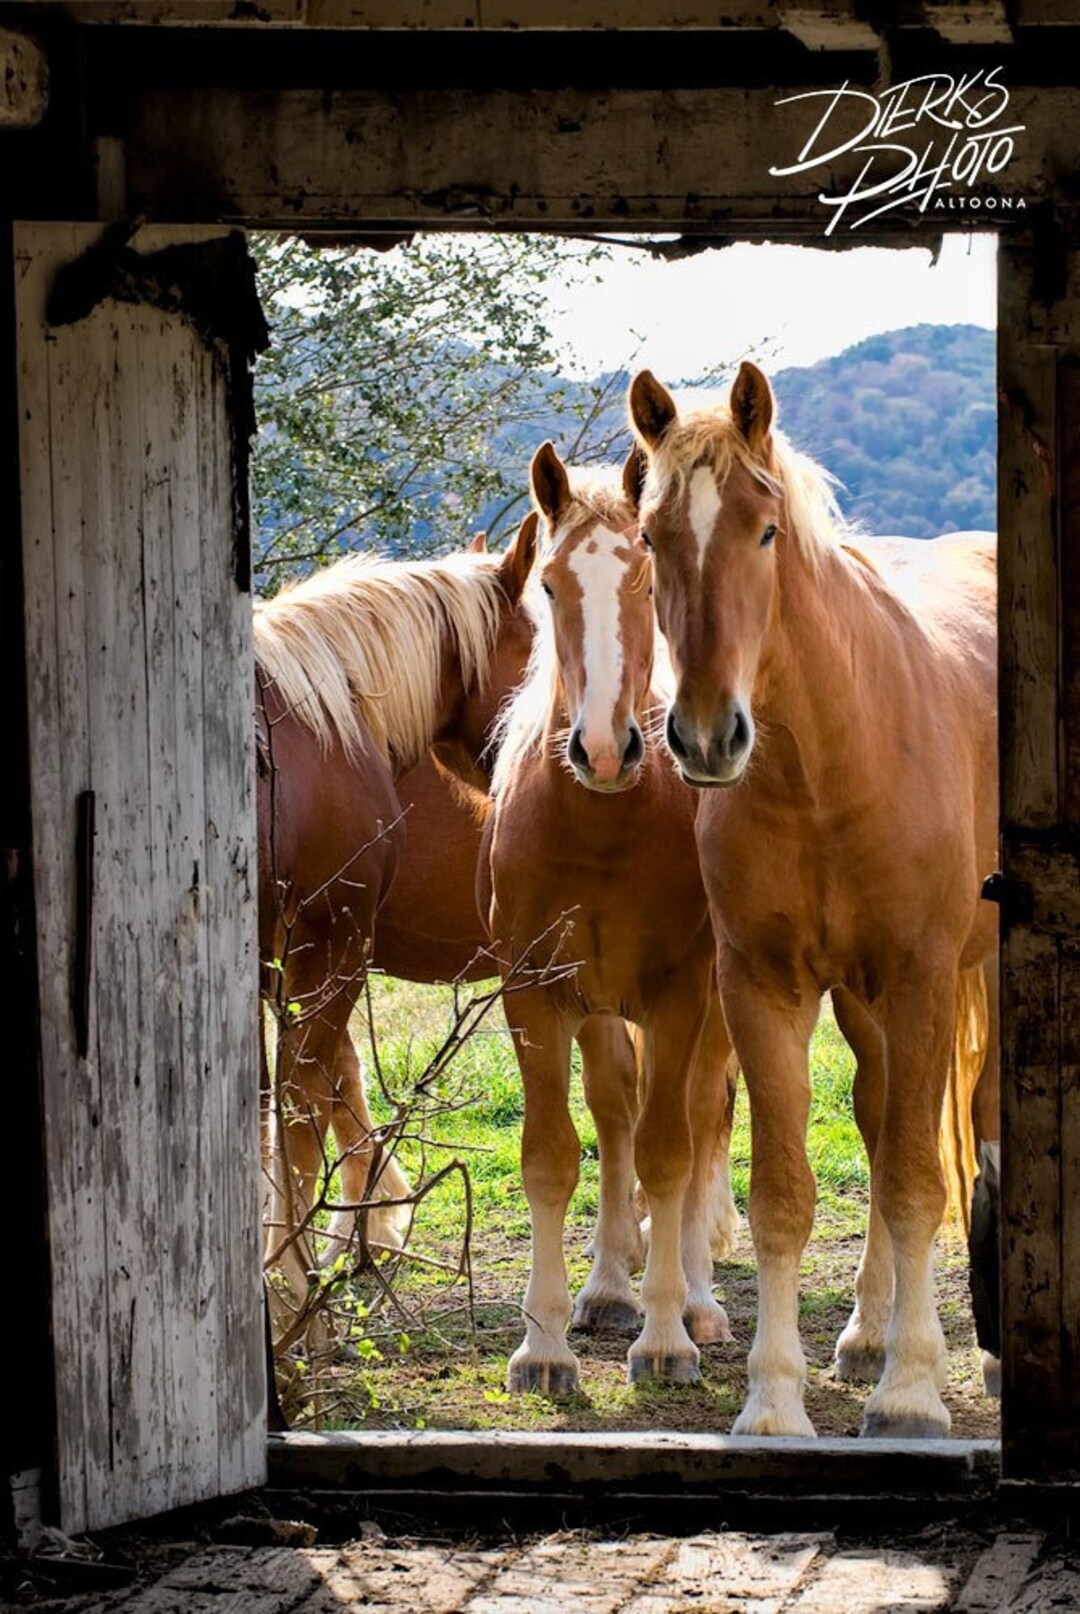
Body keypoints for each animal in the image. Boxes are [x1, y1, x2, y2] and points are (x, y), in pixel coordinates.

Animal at [483, 441, 739, 1394]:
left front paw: (665, 1338)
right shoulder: (538, 995)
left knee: (701, 1121)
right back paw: (607, 1289)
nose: (601, 749)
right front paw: (546, 1345)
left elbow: (670, 1153)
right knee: (617, 1112)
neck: (596, 828)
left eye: (645, 578)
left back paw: (695, 1298)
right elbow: (556, 1155)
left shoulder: (677, 998)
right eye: (551, 584)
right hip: (599, 1012)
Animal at [628, 360, 996, 1438]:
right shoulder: (765, 986)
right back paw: (868, 1331)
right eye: (651, 538)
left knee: (953, 1129)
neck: (830, 762)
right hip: (860, 1003)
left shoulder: (920, 979)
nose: (707, 736)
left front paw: (911, 1394)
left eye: (764, 530)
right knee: (876, 1118)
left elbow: (918, 1180)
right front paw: (773, 1402)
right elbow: (786, 1196)